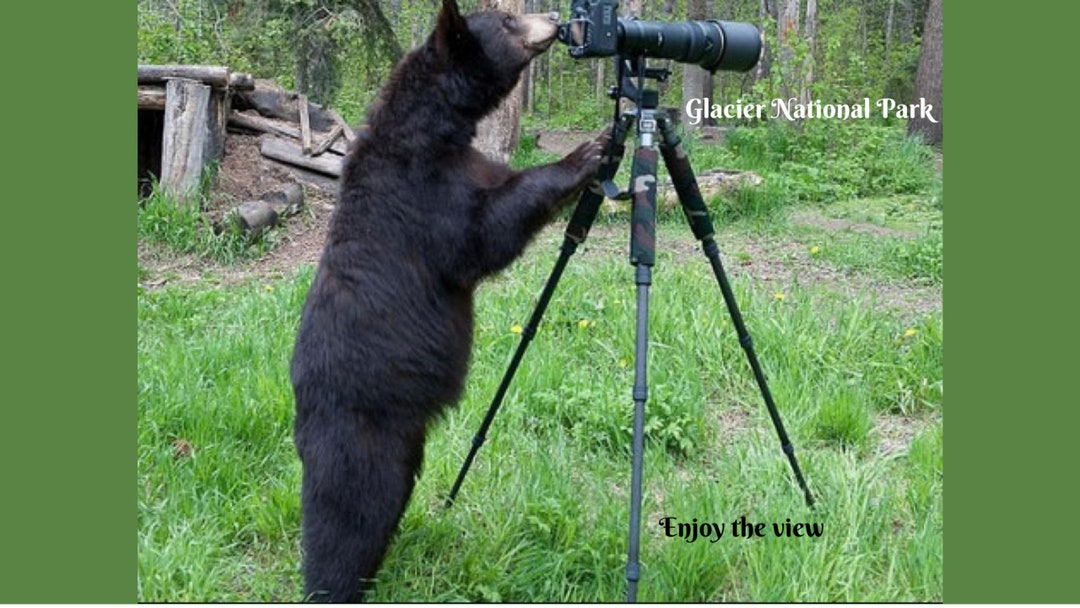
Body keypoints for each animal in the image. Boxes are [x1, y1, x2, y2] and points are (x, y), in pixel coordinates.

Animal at [289, 0, 608, 602]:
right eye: (506, 20)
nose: (555, 18)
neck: (432, 132)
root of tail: (300, 420)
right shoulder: (423, 197)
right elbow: (480, 236)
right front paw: (590, 151)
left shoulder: (465, 163)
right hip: (362, 435)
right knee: (346, 516)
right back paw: (335, 584)